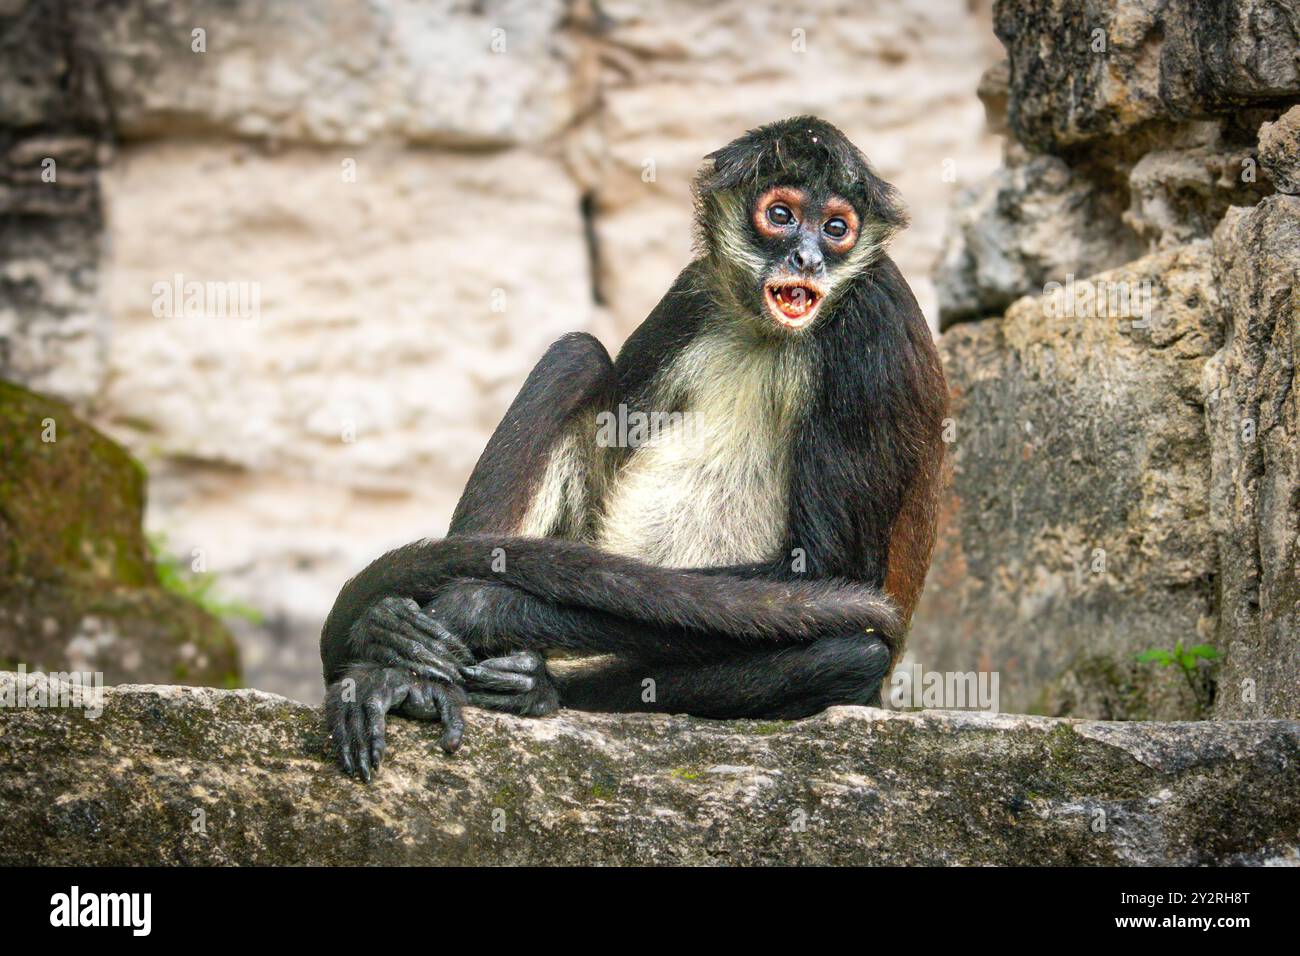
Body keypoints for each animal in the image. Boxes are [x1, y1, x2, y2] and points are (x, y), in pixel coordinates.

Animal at [320, 116, 948, 780]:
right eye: (780, 215)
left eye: (836, 229)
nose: (807, 255)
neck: (767, 330)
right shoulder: (694, 289)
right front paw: (390, 634)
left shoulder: (873, 317)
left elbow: (826, 575)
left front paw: (479, 607)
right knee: (576, 356)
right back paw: (401, 670)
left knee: (850, 653)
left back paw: (533, 685)